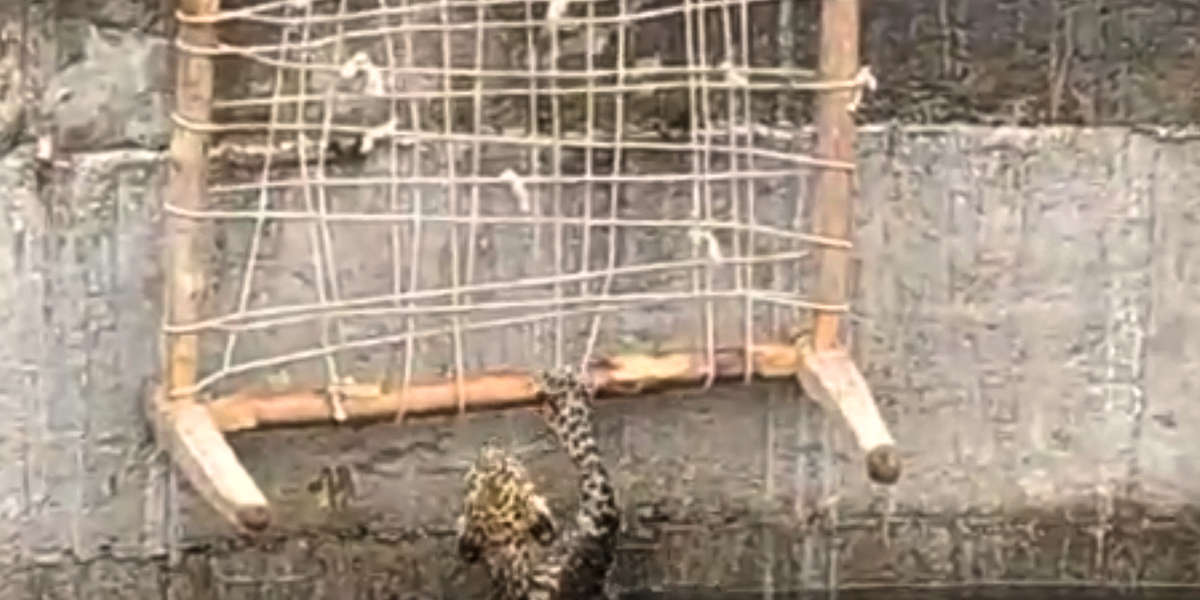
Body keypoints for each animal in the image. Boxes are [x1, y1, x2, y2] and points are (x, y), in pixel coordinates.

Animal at [455, 367, 621, 600]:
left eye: (473, 482)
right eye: (510, 469)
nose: (490, 448)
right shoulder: (599, 521)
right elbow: (584, 449)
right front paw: (566, 393)